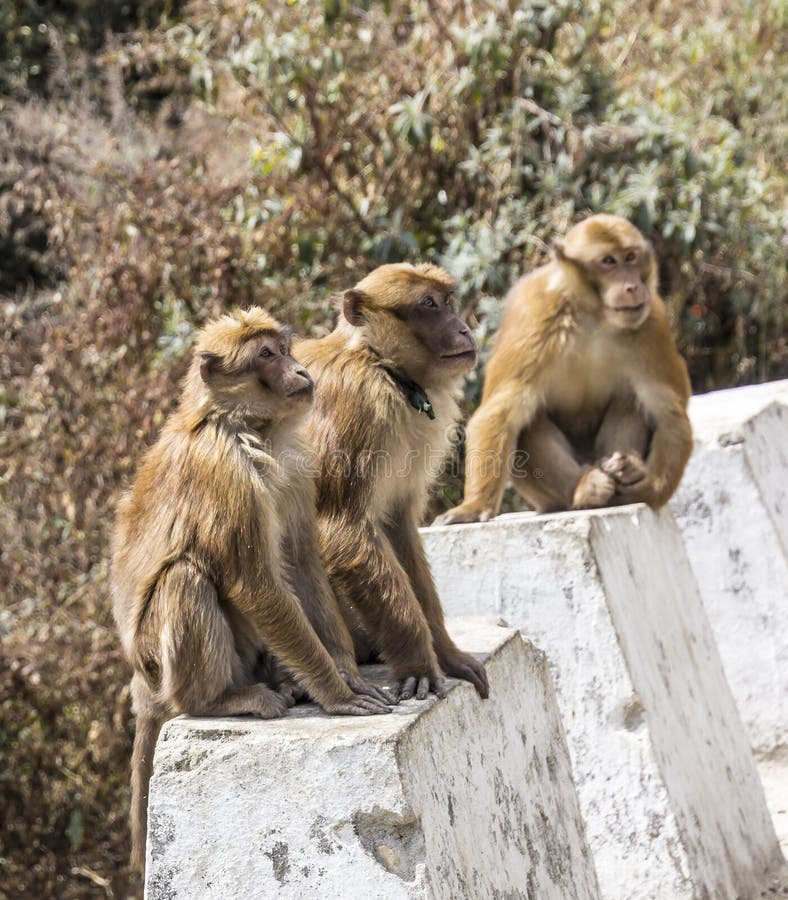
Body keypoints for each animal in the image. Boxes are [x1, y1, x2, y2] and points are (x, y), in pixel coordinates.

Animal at [111, 308, 392, 872]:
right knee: (186, 577)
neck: (248, 427)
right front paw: (336, 694)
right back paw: (217, 700)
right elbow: (255, 583)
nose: (300, 371)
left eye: (284, 348)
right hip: (161, 666)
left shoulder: (296, 464)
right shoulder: (227, 472)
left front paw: (346, 672)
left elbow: (302, 559)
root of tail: (141, 686)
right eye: (266, 356)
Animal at [295, 263, 490, 703]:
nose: (464, 328)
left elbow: (397, 526)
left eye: (447, 301)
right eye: (428, 304)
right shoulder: (356, 406)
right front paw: (418, 663)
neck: (381, 365)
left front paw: (447, 654)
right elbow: (344, 531)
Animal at [434, 214, 692, 523]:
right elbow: (499, 412)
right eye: (608, 261)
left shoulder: (652, 322)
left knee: (632, 400)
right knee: (528, 420)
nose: (632, 286)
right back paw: (586, 490)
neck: (593, 314)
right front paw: (472, 507)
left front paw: (646, 489)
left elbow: (670, 415)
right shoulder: (534, 315)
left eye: (631, 257)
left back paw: (624, 471)